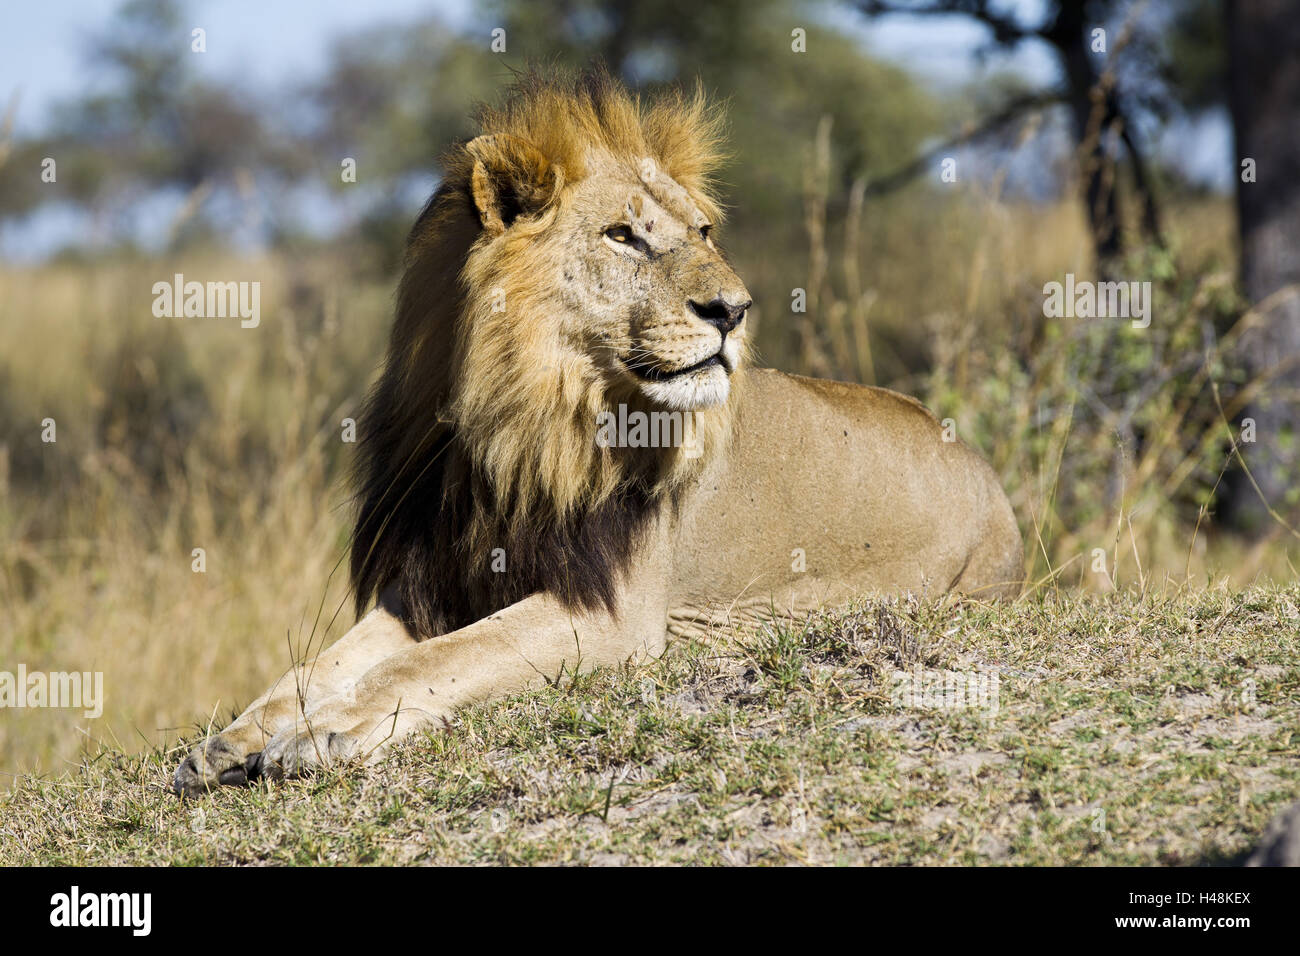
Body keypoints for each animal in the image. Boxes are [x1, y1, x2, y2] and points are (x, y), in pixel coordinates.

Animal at [174, 69, 1022, 796]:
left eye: (703, 231)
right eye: (622, 236)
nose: (735, 311)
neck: (521, 418)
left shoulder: (610, 612)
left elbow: (433, 661)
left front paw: (324, 732)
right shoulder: (426, 588)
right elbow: (315, 668)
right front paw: (234, 740)